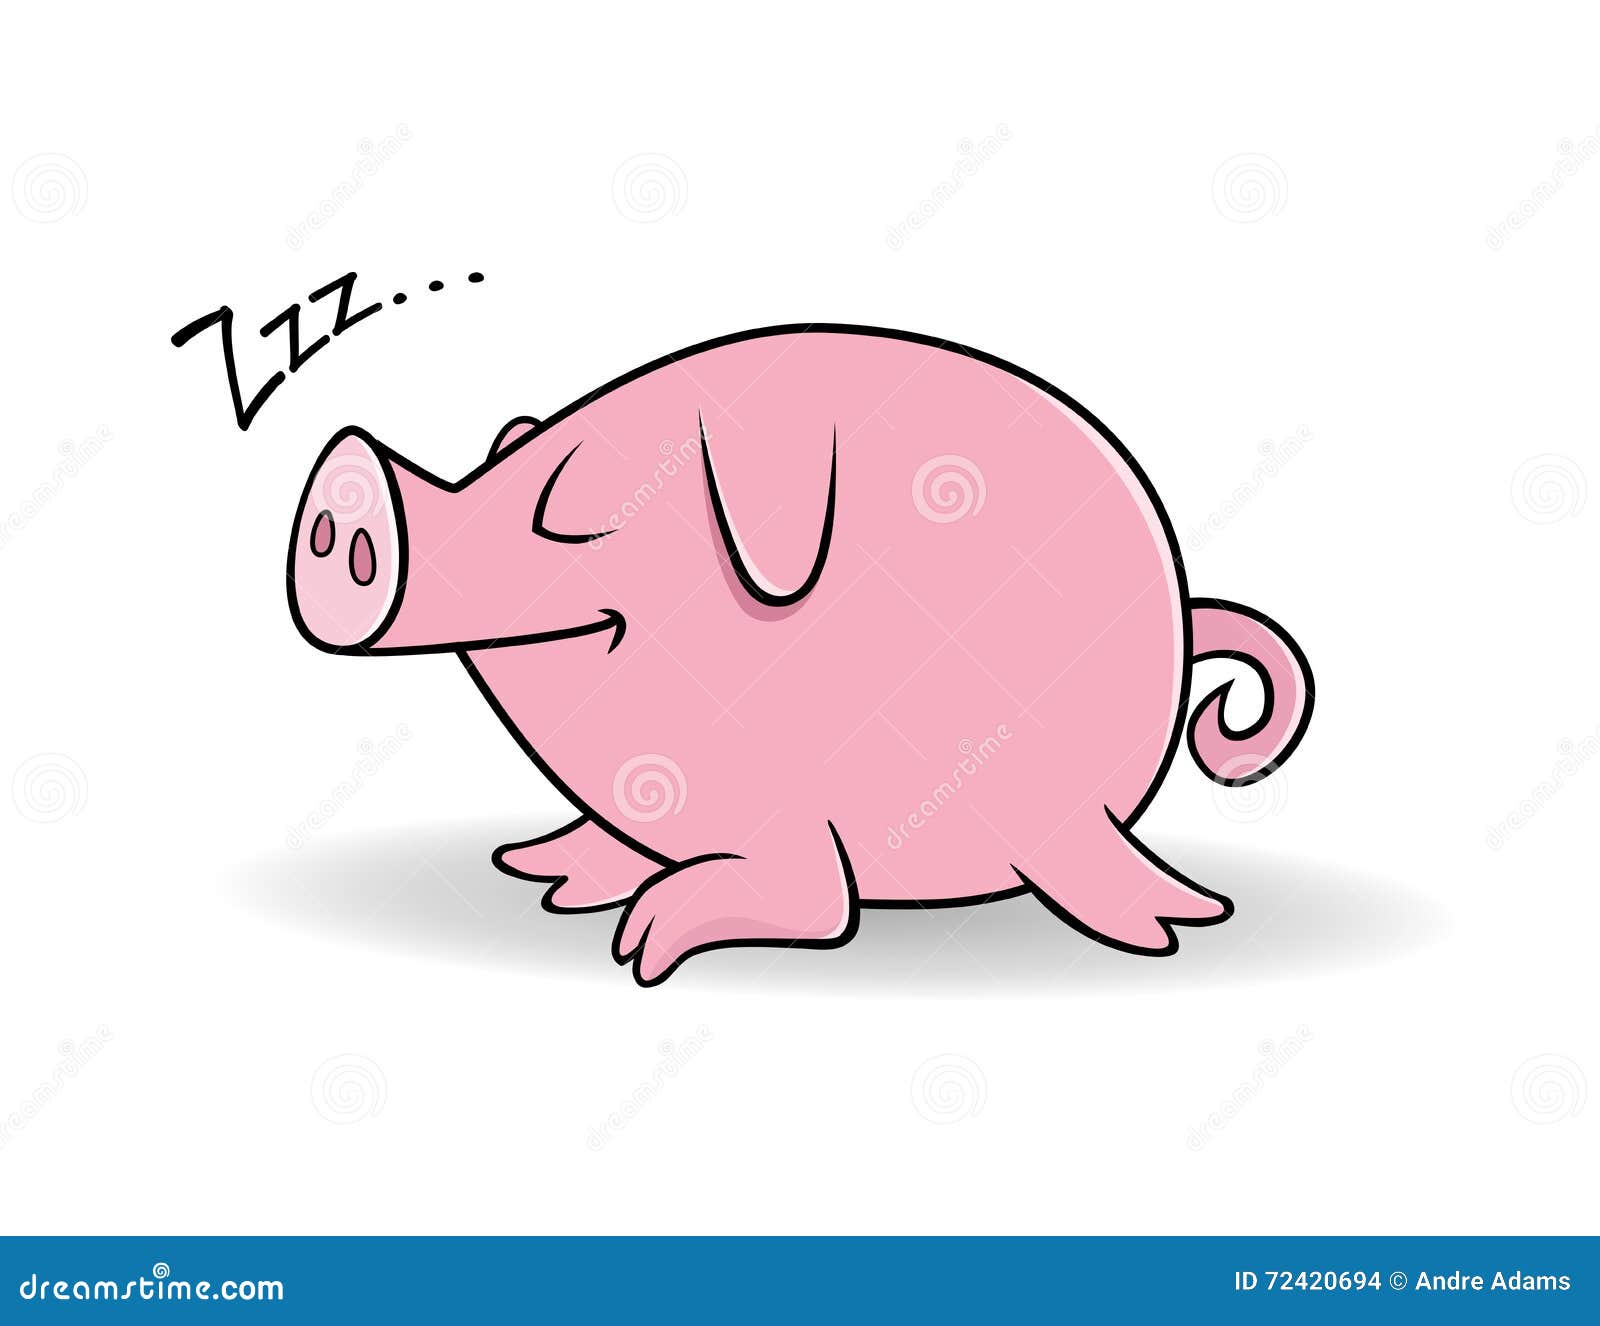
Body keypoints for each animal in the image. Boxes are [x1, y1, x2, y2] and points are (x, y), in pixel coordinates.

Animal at [287, 325, 1314, 985]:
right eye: (493, 473)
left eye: (573, 505)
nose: (347, 476)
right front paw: (544, 873)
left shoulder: (795, 838)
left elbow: (817, 908)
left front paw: (641, 947)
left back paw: (1168, 926)